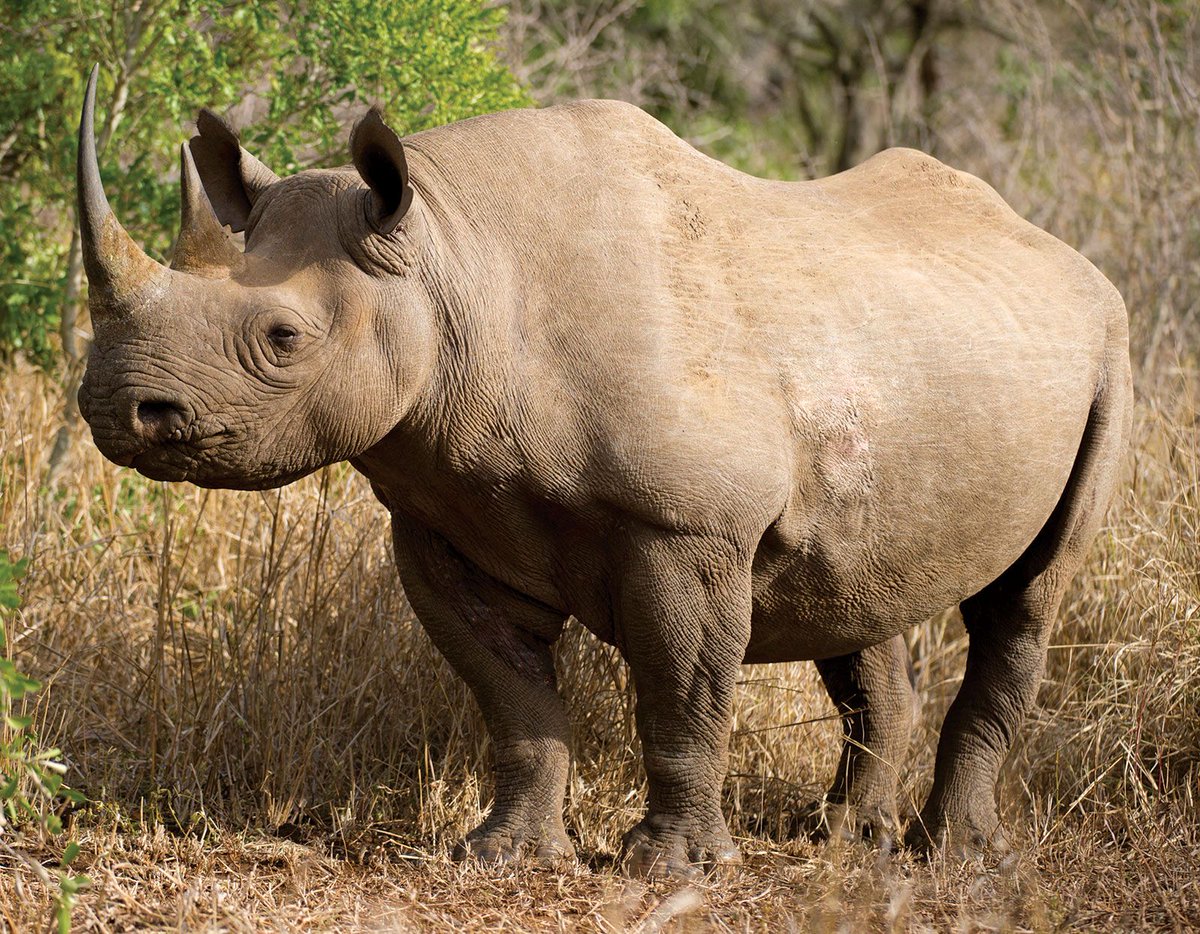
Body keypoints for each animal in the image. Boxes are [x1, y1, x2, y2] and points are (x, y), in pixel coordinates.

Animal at [75, 65, 1131, 878]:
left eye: (283, 338)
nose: (118, 410)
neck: (453, 260)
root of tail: (1057, 247)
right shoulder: (447, 517)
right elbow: (512, 697)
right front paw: (501, 856)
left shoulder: (686, 525)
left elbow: (678, 694)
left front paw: (672, 870)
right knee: (857, 589)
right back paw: (843, 840)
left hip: (1107, 349)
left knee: (1027, 597)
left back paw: (954, 858)